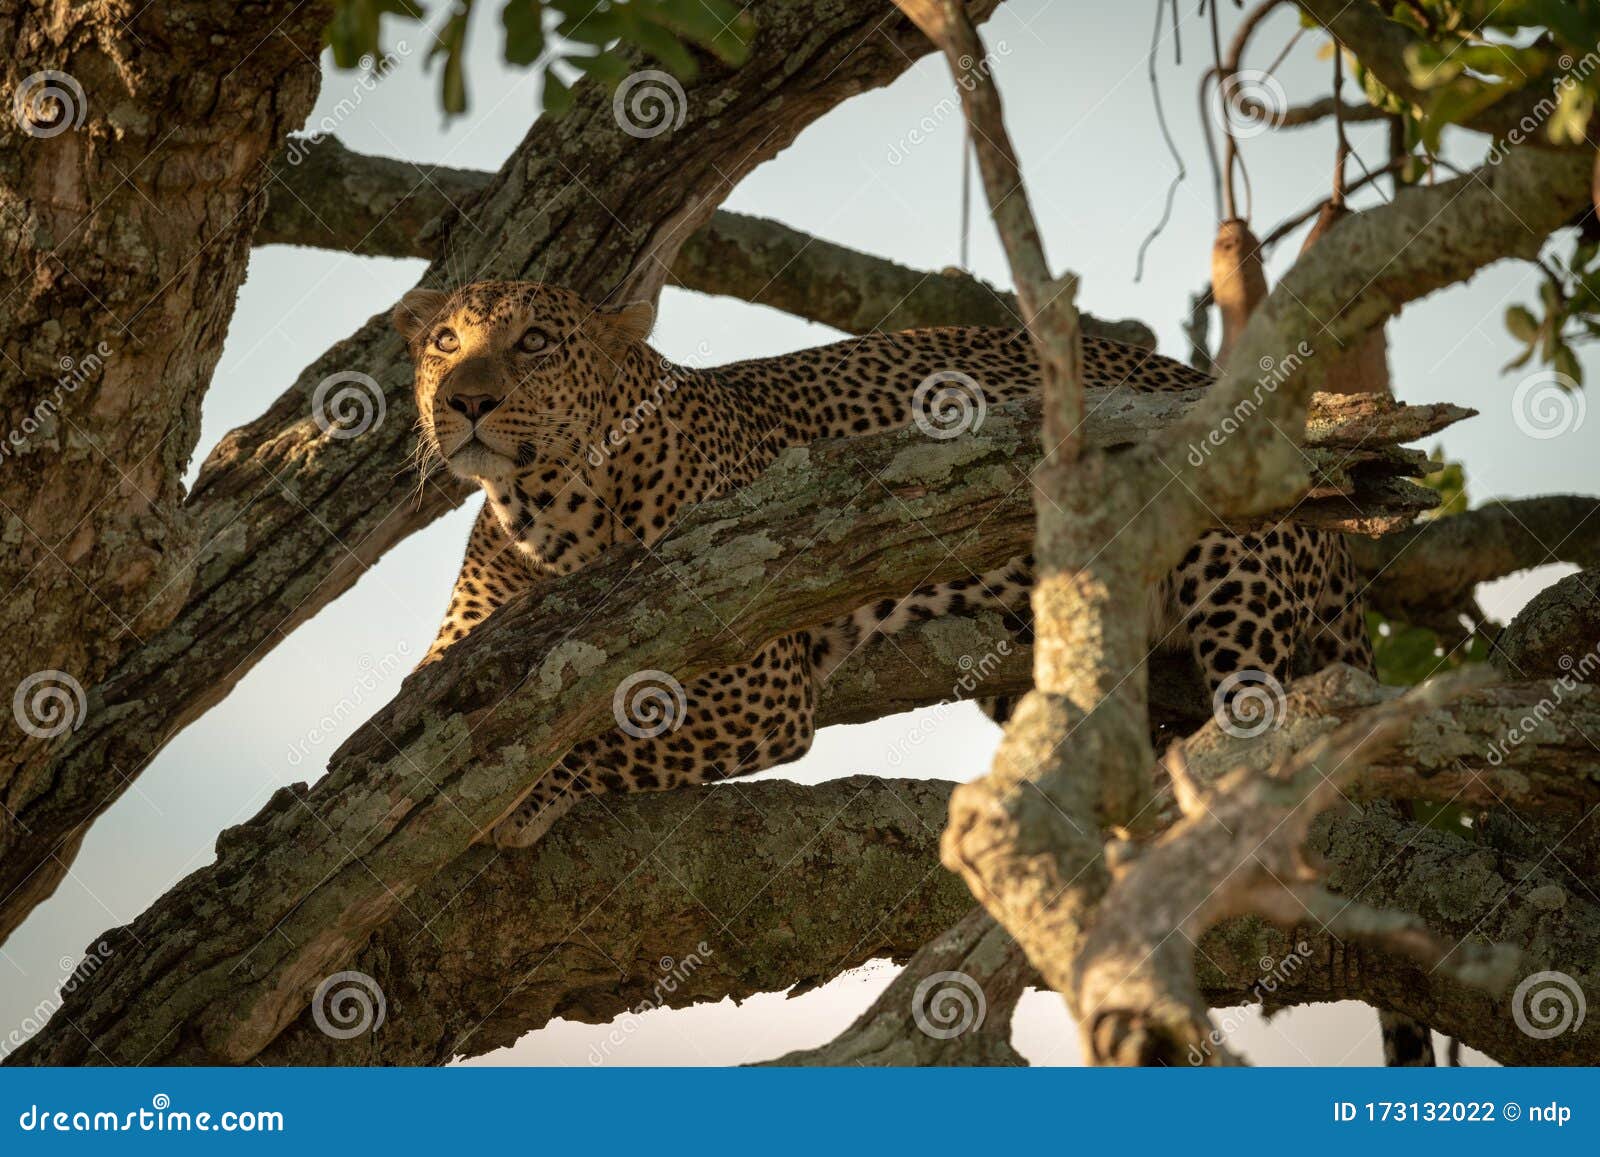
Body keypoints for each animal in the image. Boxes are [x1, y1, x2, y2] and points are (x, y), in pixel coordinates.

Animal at [393, 278, 1430, 1066]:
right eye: (446, 341)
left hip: (1232, 573)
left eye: (533, 342)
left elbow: (598, 733)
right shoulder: (460, 656)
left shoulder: (758, 673)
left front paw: (519, 794)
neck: (547, 509)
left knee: (1253, 722)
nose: (465, 400)